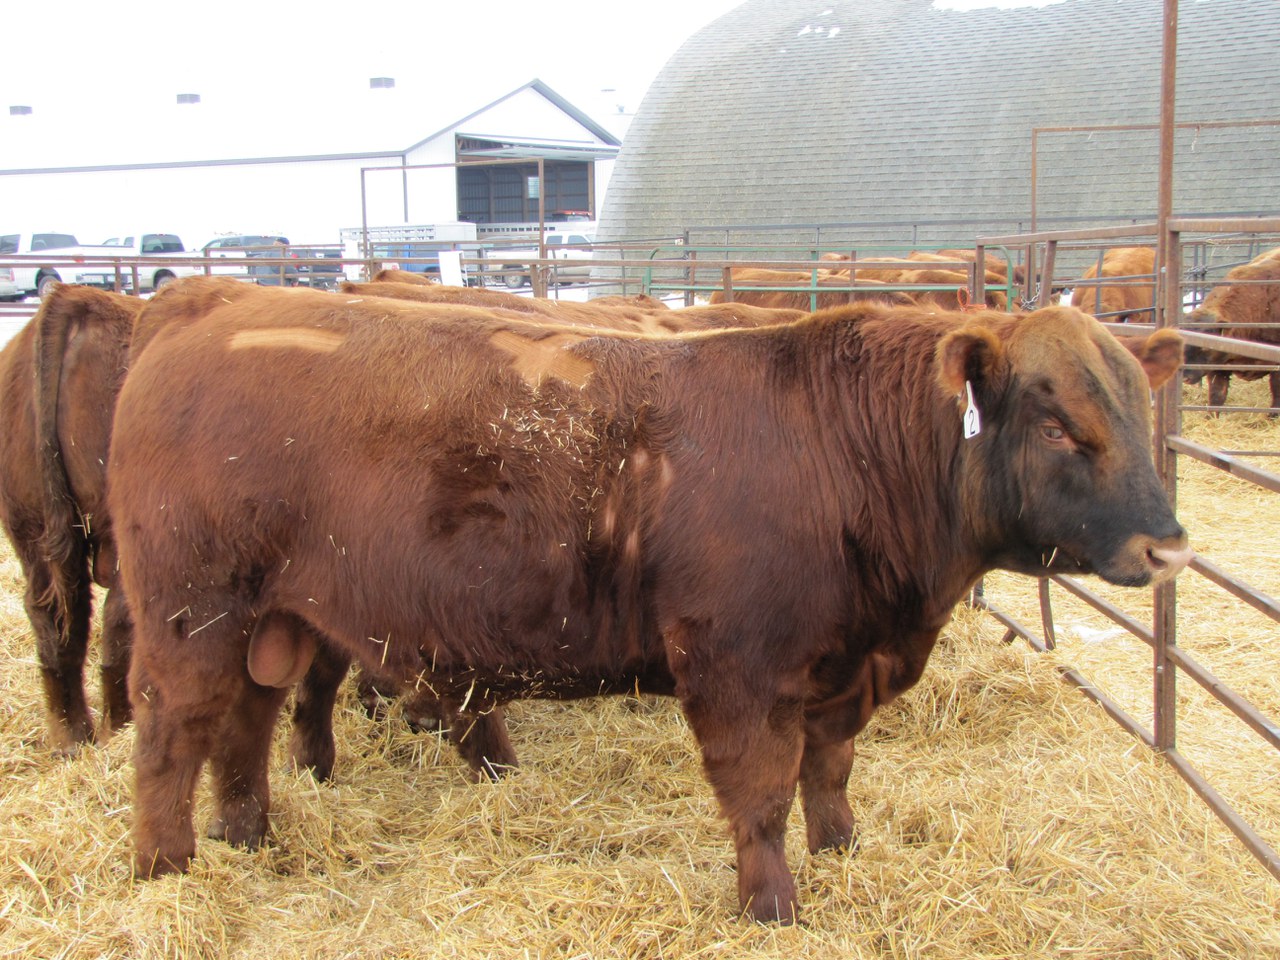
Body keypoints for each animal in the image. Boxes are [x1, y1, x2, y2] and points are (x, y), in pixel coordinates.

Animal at [0, 284, 143, 753]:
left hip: (29, 523)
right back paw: (120, 725)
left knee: (54, 615)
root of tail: (72, 298)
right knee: (118, 618)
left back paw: (71, 735)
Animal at [109, 279, 1190, 923]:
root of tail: (212, 297)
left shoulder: (841, 668)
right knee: (170, 735)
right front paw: (772, 905)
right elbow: (759, 793)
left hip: (273, 621)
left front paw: (843, 854)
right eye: (1057, 426)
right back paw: (166, 870)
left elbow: (829, 774)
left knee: (244, 730)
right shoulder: (737, 664)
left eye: (1139, 414)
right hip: (191, 611)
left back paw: (249, 836)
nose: (1168, 546)